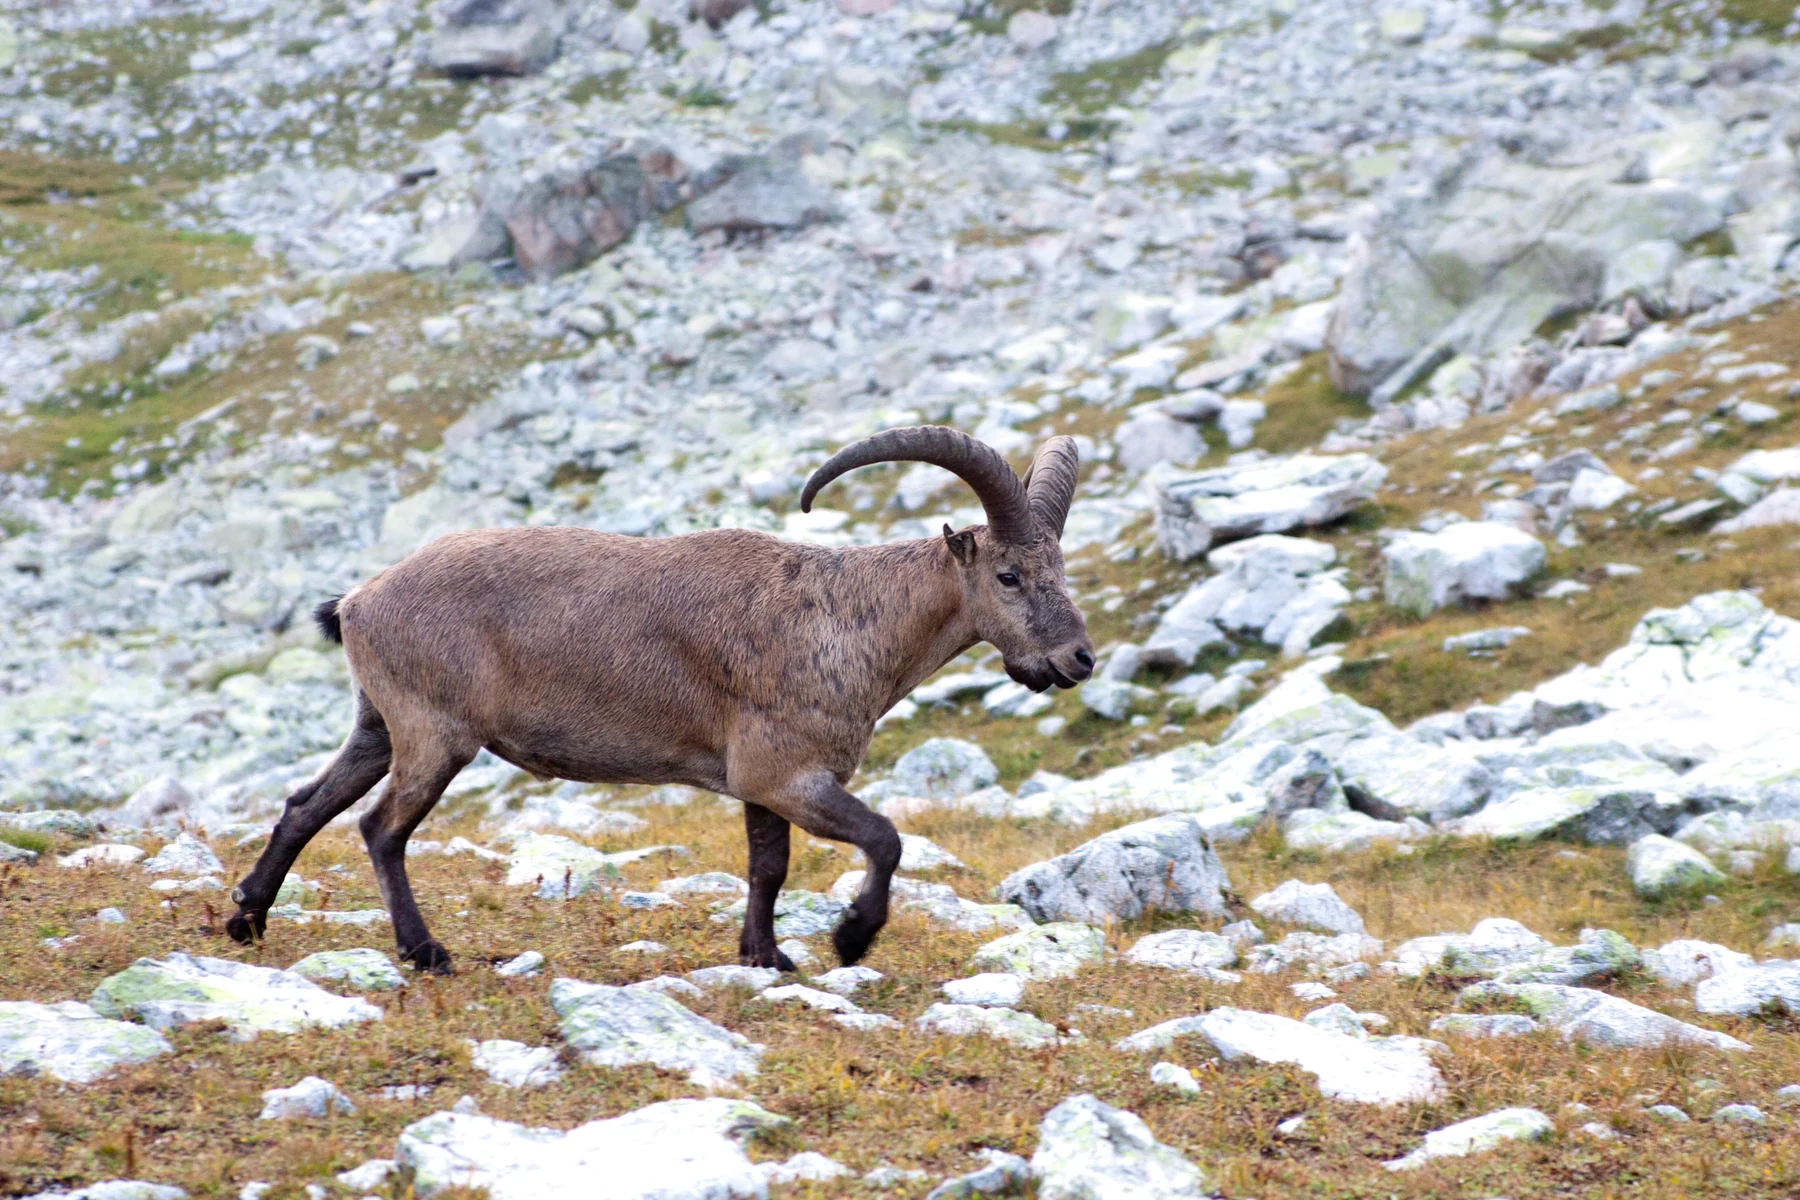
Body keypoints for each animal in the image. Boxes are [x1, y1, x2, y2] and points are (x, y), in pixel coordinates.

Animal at [226, 426, 1094, 973]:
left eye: (1062, 566)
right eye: (1009, 575)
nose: (1076, 659)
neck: (848, 618)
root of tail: (357, 601)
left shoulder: (759, 784)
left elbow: (768, 868)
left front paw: (764, 956)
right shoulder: (788, 774)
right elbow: (883, 839)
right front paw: (850, 939)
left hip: (380, 722)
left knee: (306, 803)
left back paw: (246, 917)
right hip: (436, 732)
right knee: (380, 828)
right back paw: (425, 952)